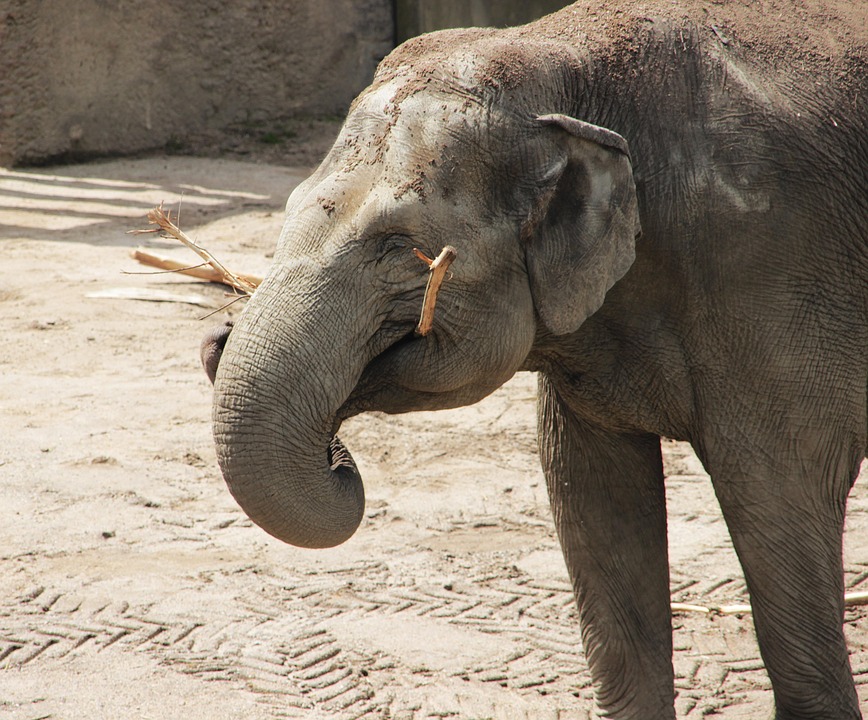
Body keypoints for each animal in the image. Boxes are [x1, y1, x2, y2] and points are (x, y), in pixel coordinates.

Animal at [201, 2, 867, 718]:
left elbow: (778, 498)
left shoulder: (776, 271)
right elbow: (592, 501)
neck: (561, 68)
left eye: (398, 244)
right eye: (288, 206)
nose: (219, 336)